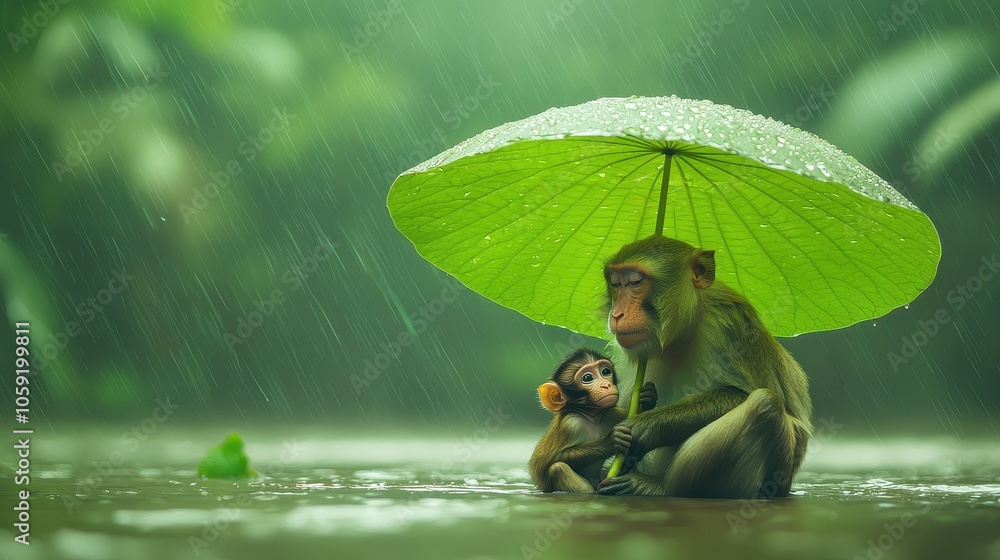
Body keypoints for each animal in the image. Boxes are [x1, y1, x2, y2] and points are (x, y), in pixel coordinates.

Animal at [529, 348, 658, 493]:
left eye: (605, 371)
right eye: (587, 378)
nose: (606, 385)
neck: (591, 418)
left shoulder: (611, 414)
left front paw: (647, 397)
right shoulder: (571, 424)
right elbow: (549, 461)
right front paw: (610, 441)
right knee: (558, 469)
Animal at [595, 235, 812, 498]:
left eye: (636, 281)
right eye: (616, 283)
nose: (617, 314)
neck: (683, 334)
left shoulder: (728, 324)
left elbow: (740, 394)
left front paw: (644, 427)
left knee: (765, 405)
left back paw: (658, 487)